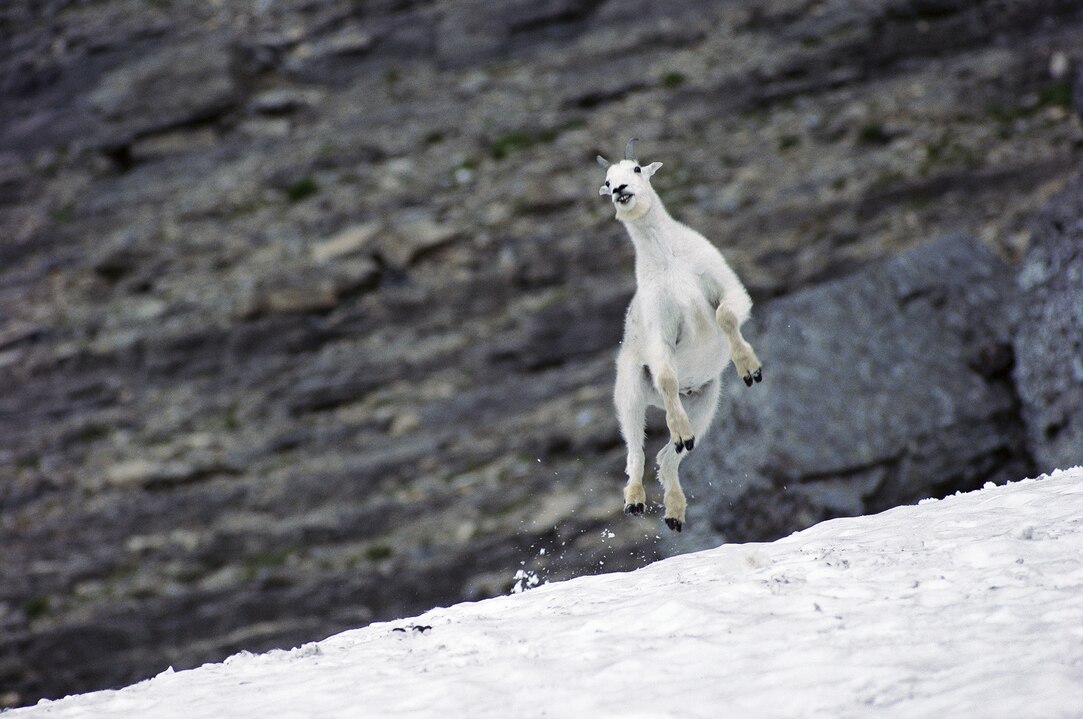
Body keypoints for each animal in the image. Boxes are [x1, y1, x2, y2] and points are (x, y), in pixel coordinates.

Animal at [597, 138, 763, 532]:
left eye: (636, 169)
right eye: (607, 181)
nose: (621, 191)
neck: (669, 260)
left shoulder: (728, 290)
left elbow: (725, 315)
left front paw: (750, 370)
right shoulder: (661, 332)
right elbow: (668, 378)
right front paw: (679, 430)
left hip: (706, 402)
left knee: (665, 456)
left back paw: (674, 513)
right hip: (630, 392)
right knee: (637, 450)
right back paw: (637, 500)